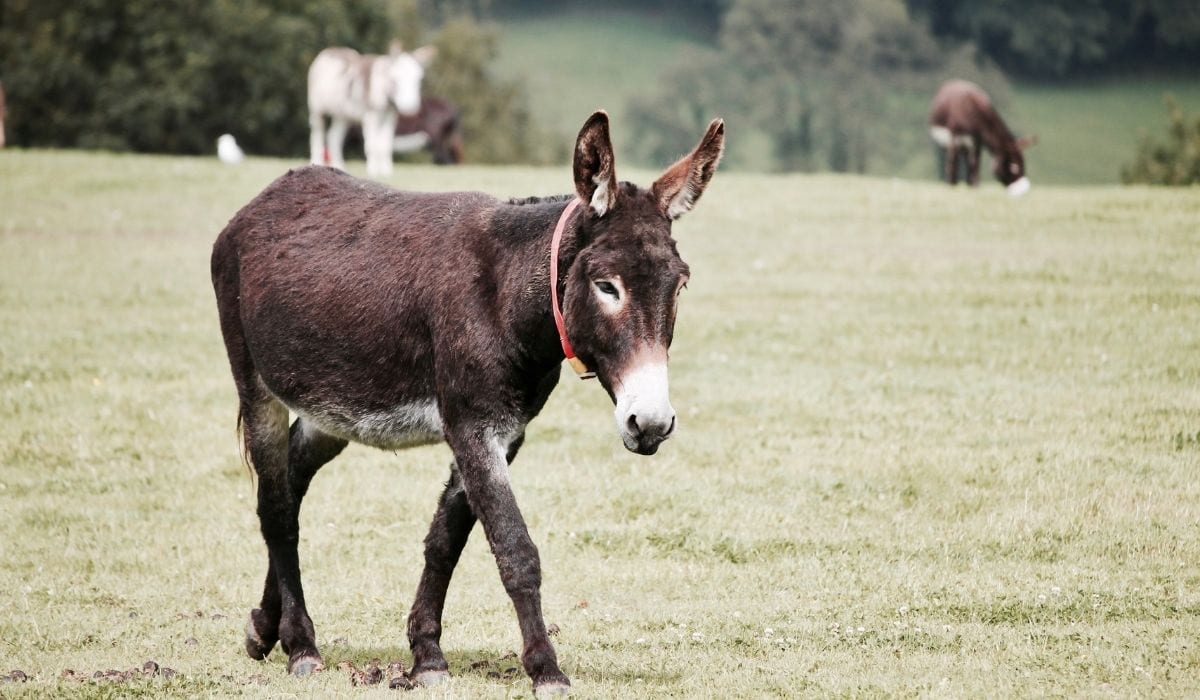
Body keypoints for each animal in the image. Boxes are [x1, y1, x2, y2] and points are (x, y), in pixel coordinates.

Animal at [211, 111, 725, 694]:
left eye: (679, 287)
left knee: (290, 481)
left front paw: (427, 655)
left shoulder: (503, 432)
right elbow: (515, 548)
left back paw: (263, 625)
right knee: (275, 508)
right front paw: (545, 669)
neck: (506, 294)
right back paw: (300, 644)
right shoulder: (472, 428)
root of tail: (267, 196)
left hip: (334, 407)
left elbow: (445, 540)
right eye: (606, 286)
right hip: (256, 383)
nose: (652, 424)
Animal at [307, 45, 435, 178]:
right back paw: (315, 162)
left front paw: (386, 170)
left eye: (419, 79)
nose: (410, 107)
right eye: (395, 79)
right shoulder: (370, 115)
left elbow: (385, 143)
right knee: (317, 133)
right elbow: (372, 144)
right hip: (317, 109)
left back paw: (338, 165)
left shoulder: (390, 116)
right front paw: (373, 170)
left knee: (334, 136)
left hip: (342, 115)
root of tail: (329, 50)